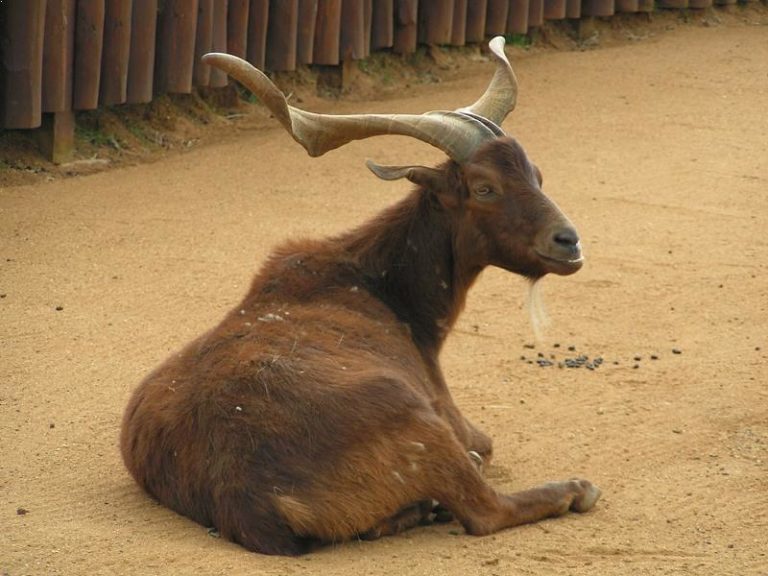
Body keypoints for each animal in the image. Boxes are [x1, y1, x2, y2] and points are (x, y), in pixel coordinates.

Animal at [120, 37, 600, 556]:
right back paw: (573, 489)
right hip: (418, 423)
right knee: (485, 509)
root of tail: (258, 501)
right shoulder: (451, 416)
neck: (396, 299)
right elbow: (485, 448)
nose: (568, 242)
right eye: (483, 187)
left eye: (536, 175)